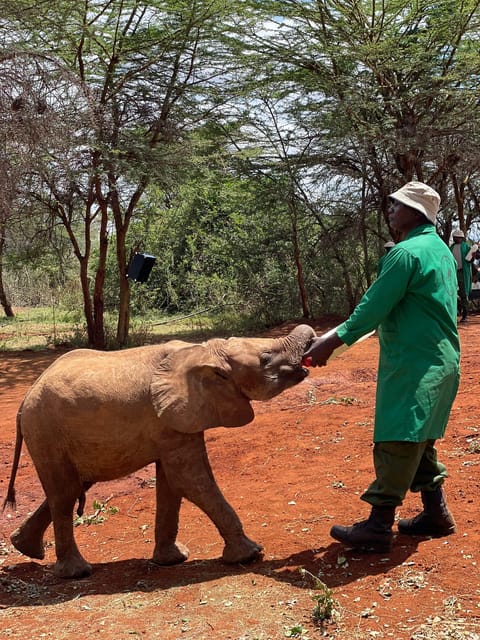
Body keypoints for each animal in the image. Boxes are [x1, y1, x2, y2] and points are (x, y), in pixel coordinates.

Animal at [3, 323, 315, 579]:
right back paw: (77, 573)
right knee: (65, 493)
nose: (313, 343)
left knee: (73, 486)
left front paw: (173, 560)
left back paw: (25, 548)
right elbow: (190, 480)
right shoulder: (171, 417)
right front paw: (250, 555)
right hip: (45, 431)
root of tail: (25, 399)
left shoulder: (179, 419)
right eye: (266, 358)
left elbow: (171, 484)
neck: (205, 352)